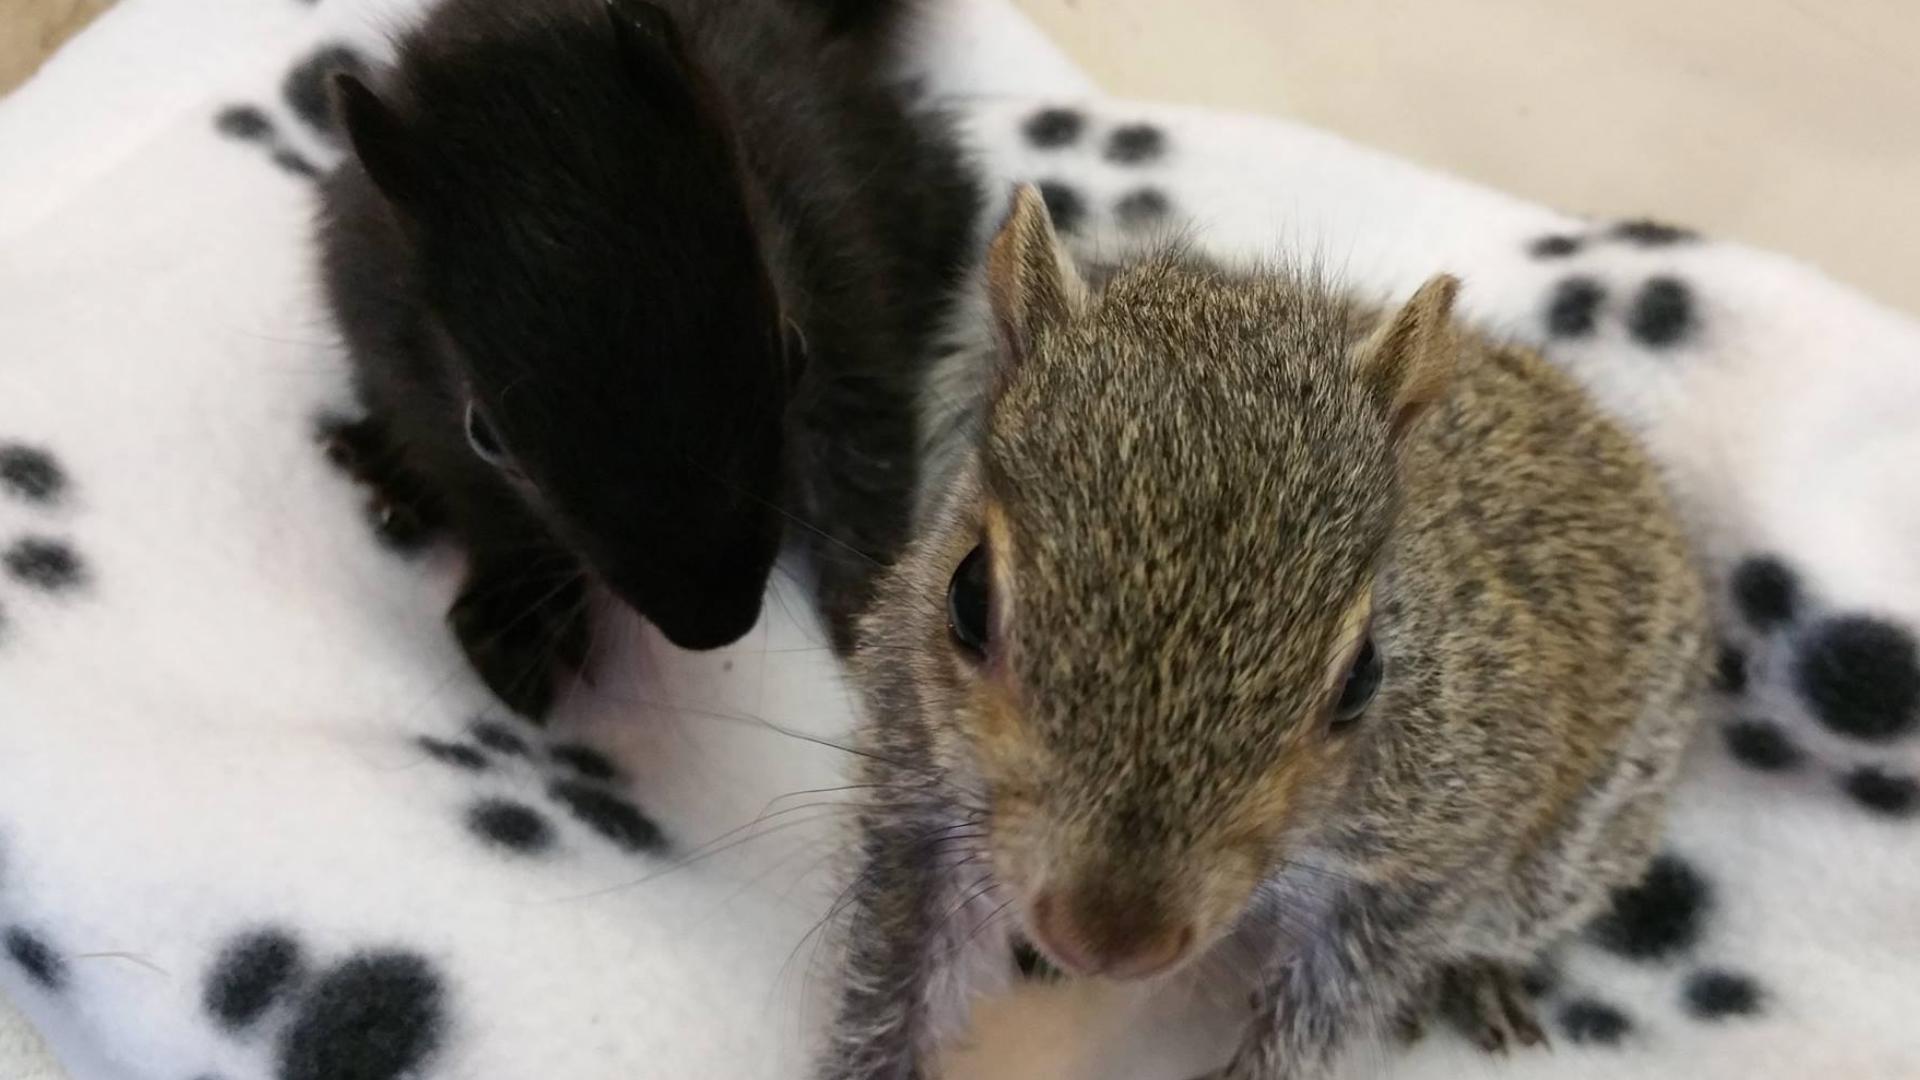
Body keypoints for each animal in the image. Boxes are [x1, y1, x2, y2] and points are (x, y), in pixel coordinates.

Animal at [316, 0, 978, 718]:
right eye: (485, 436)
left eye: (791, 348)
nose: (714, 625)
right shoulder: (384, 330)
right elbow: (462, 479)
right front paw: (519, 614)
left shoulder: (839, 242)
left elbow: (862, 435)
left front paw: (879, 612)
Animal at [814, 186, 1709, 1080]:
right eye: (967, 597)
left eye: (1363, 677)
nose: (1107, 940)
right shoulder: (917, 778)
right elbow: (898, 957)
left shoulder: (1429, 848)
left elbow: (1335, 1000)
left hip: (1571, 854)